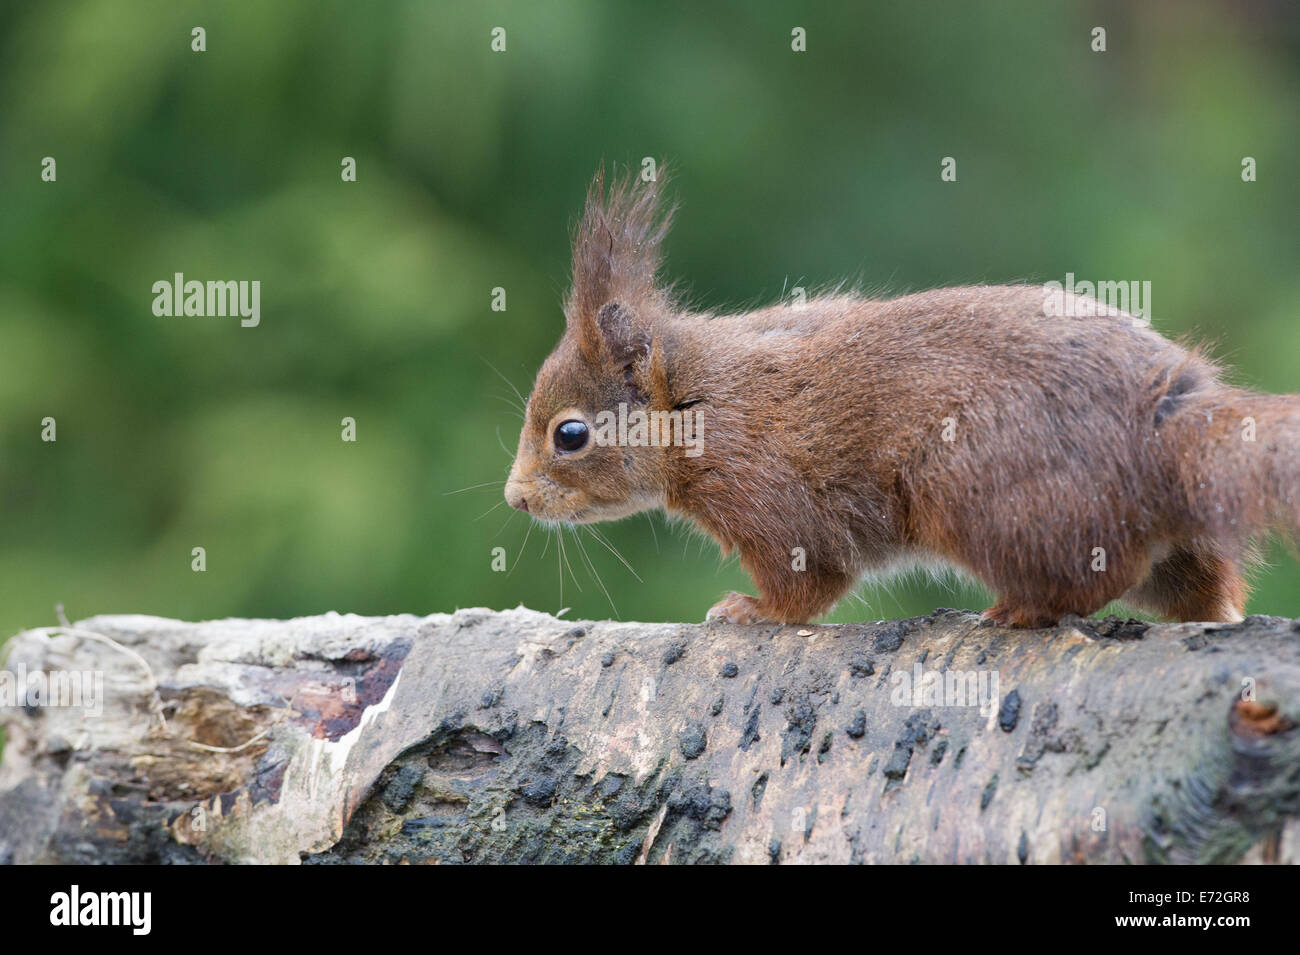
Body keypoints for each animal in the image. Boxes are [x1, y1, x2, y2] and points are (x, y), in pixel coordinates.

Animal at [504, 166, 1299, 628]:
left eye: (569, 434)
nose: (516, 499)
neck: (700, 403)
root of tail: (1164, 420)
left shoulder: (769, 495)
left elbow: (807, 580)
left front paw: (751, 610)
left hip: (980, 491)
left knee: (1099, 574)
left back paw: (1018, 611)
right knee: (1199, 584)